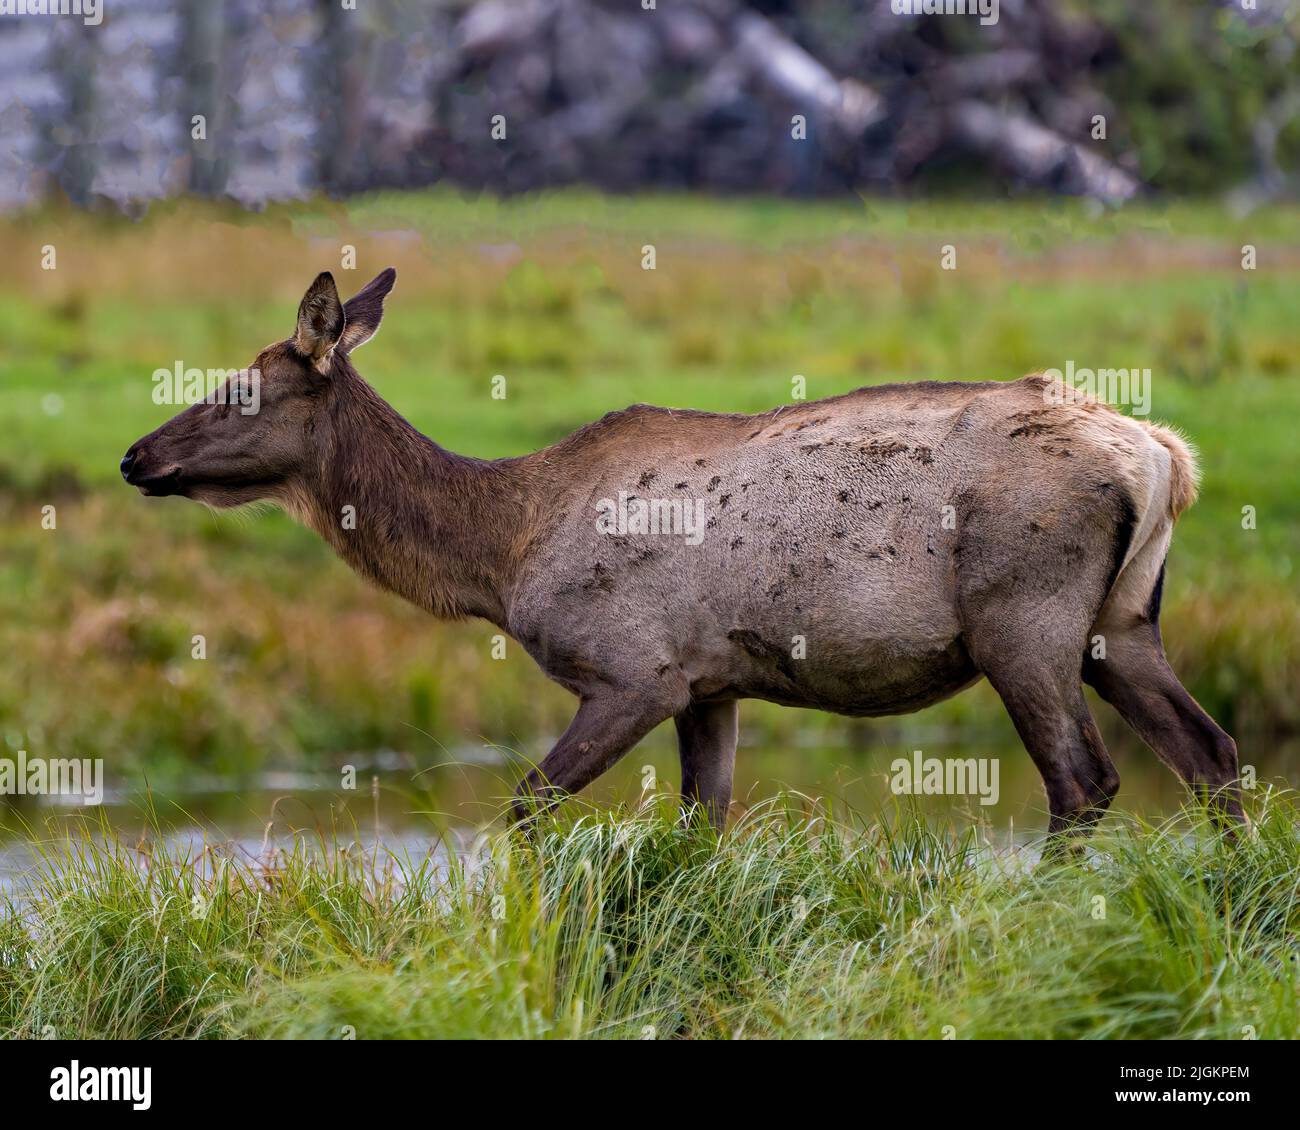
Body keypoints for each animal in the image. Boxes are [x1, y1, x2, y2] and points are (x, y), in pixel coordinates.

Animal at [122, 269, 1244, 847]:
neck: (499, 555)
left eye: (241, 390)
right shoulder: (714, 681)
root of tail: (1167, 456)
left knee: (1084, 781)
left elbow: (525, 805)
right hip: (1122, 623)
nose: (136, 455)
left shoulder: (636, 669)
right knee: (1212, 755)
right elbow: (703, 826)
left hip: (1025, 617)